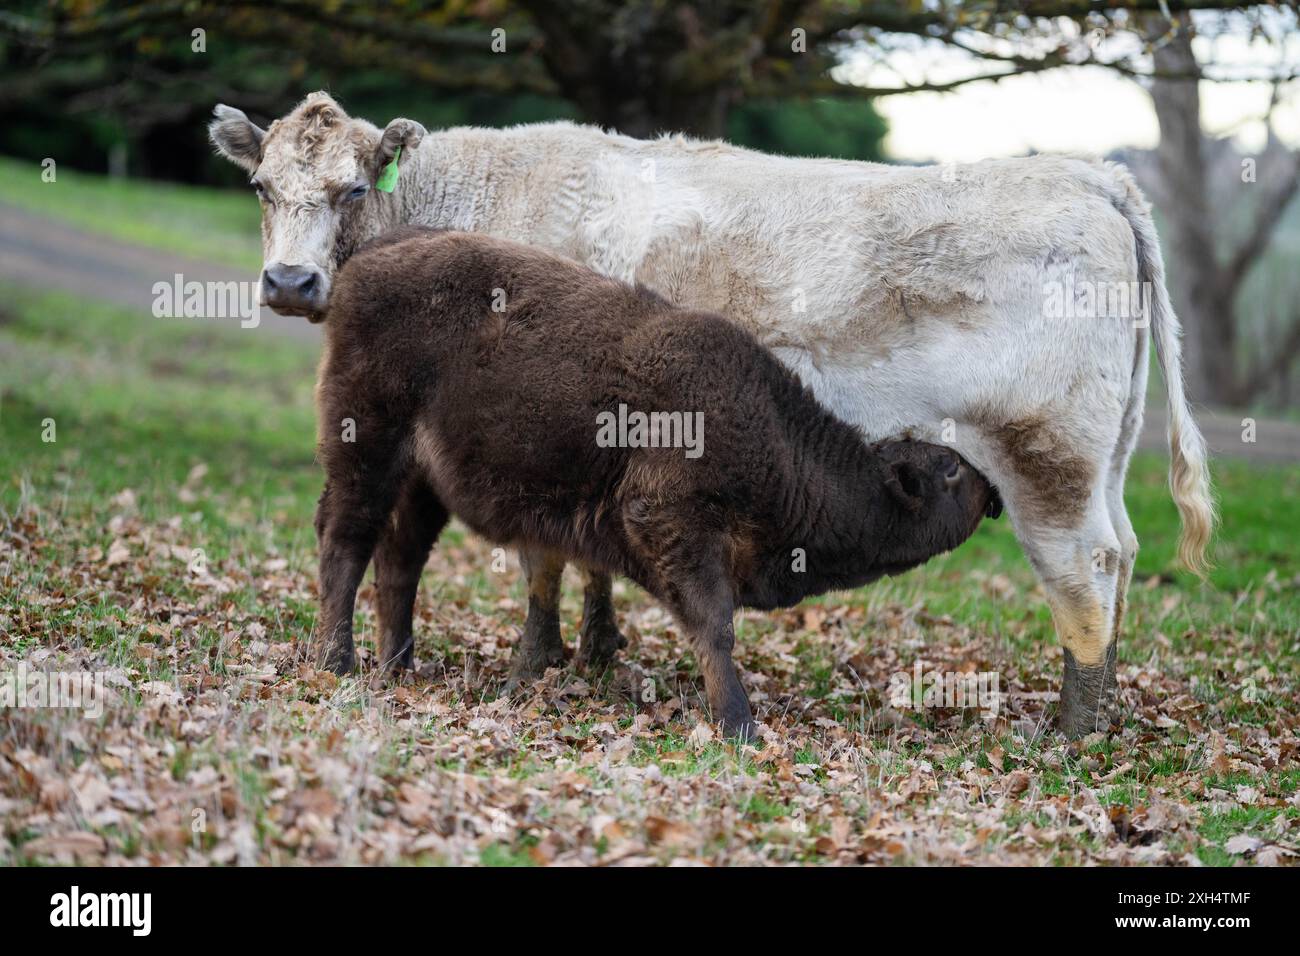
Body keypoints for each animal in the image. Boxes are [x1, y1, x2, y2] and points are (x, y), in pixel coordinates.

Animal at [209, 92, 1214, 737]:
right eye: (261, 186)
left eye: (351, 188)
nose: (291, 283)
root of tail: (1088, 176)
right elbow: (582, 558)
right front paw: (598, 650)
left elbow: (541, 559)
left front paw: (539, 659)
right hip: (1104, 462)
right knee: (1125, 553)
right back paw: (1097, 714)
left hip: (1047, 461)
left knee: (1084, 570)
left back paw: (1072, 731)